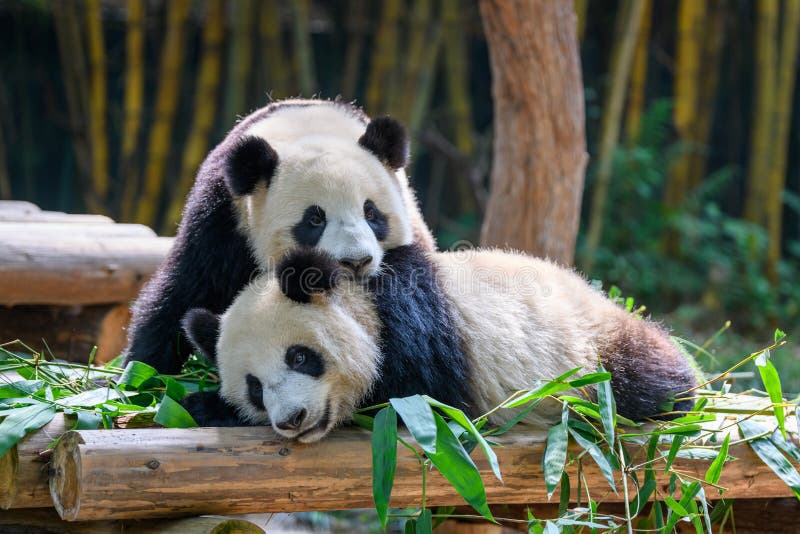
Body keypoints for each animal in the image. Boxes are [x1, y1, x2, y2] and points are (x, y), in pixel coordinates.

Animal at [125, 99, 435, 374]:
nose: (356, 262)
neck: (308, 127)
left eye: (371, 213)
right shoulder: (221, 223)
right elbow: (181, 296)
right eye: (314, 219)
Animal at [181, 244, 699, 442]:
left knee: (644, 378)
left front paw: (205, 405)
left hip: (590, 352)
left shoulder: (419, 333)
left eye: (300, 356)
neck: (363, 303)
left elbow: (406, 397)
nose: (291, 419)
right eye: (254, 387)